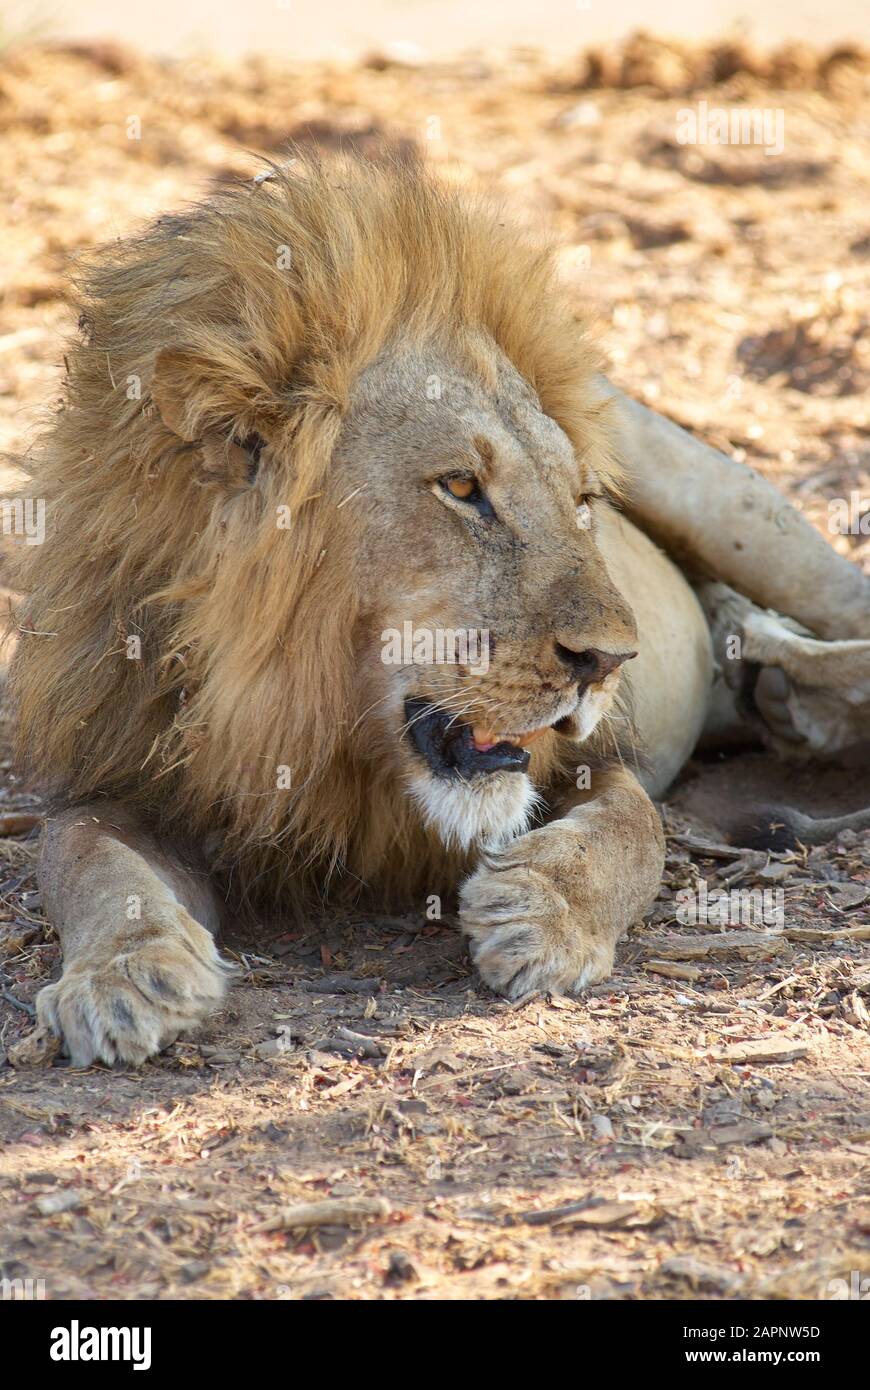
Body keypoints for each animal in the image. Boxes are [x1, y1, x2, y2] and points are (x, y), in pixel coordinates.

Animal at [8, 153, 870, 1067]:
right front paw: (125, 977)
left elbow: (633, 831)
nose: (610, 662)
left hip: (734, 505)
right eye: (461, 488)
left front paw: (540, 915)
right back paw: (771, 687)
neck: (310, 727)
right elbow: (84, 857)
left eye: (583, 502)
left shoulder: (590, 763)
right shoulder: (124, 772)